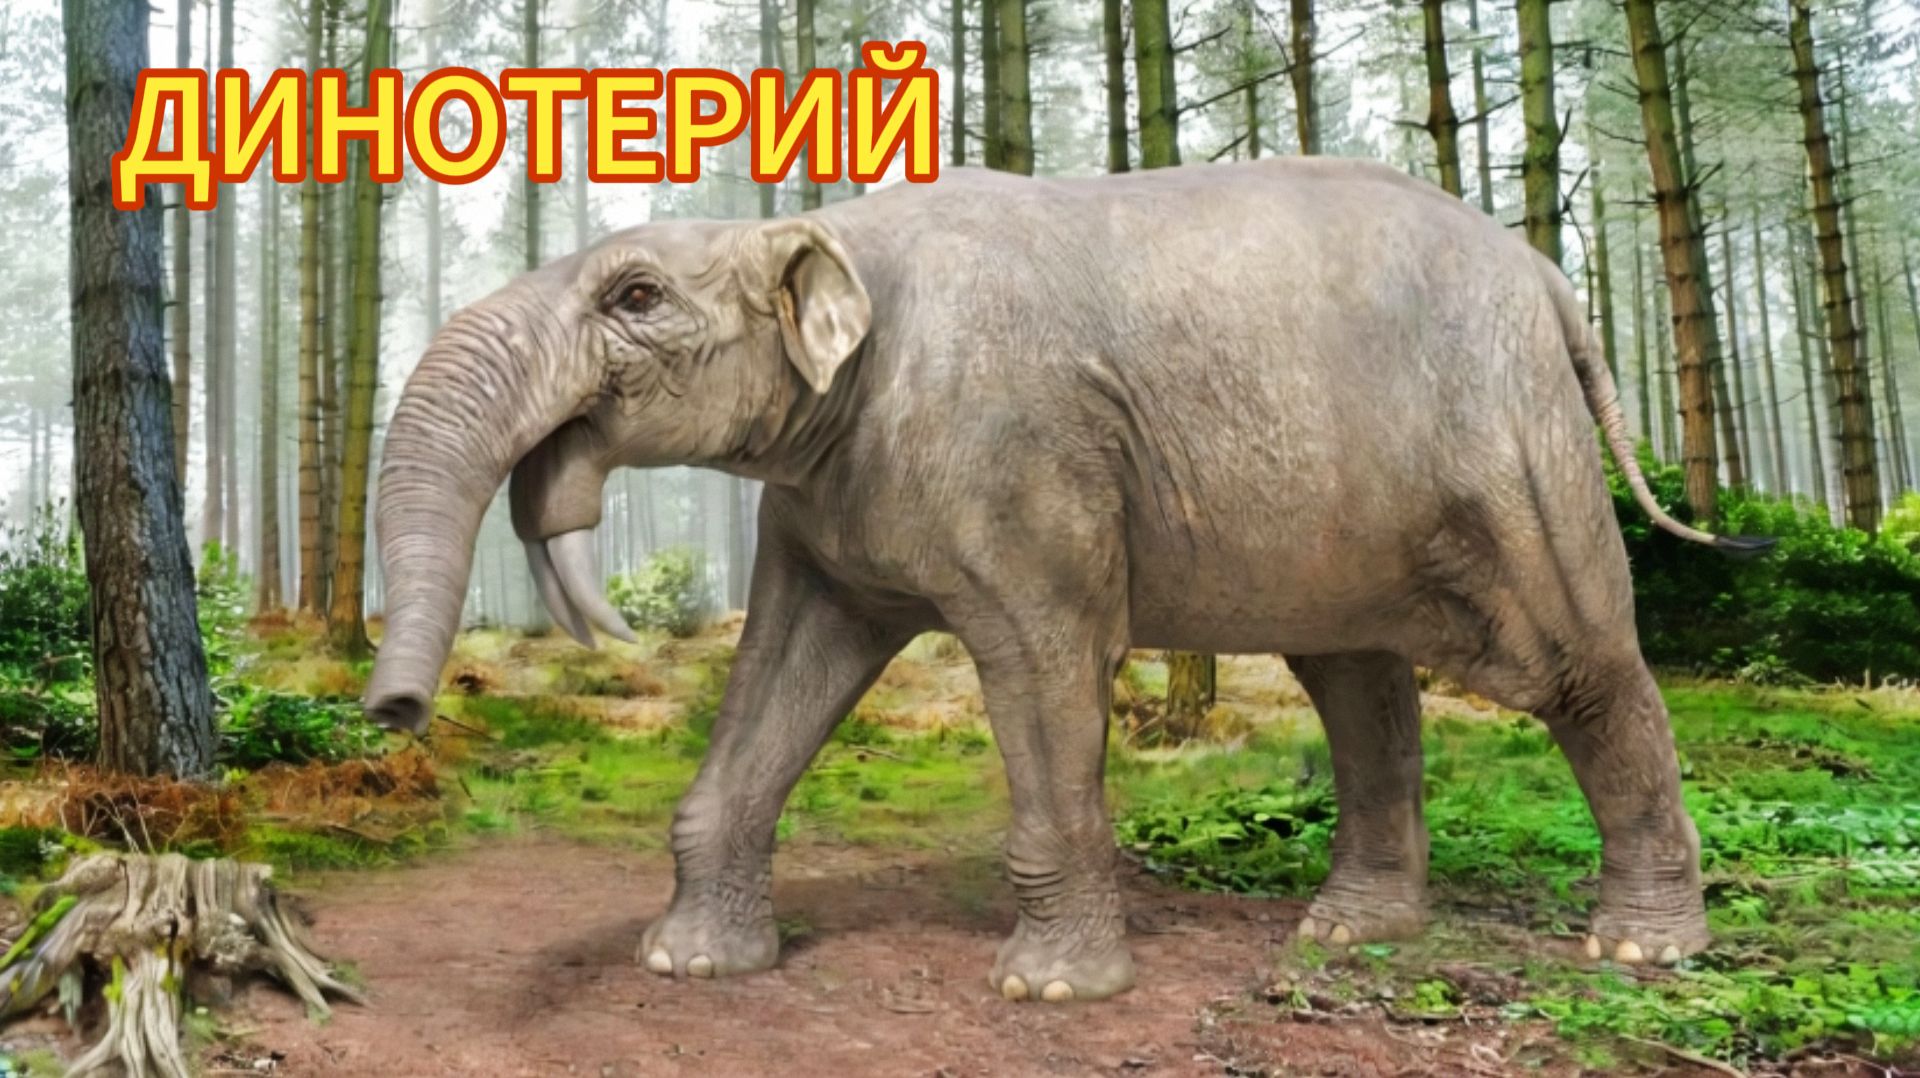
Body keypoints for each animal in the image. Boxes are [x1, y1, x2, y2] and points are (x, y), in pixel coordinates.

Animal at [364, 157, 1762, 1004]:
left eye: (638, 295)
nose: (395, 713)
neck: (811, 226)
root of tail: (1554, 286)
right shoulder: (831, 497)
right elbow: (790, 663)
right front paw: (692, 968)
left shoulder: (1021, 459)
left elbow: (1044, 660)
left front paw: (1045, 989)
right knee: (1357, 677)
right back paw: (1350, 932)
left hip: (1512, 450)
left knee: (1579, 663)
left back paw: (1642, 945)